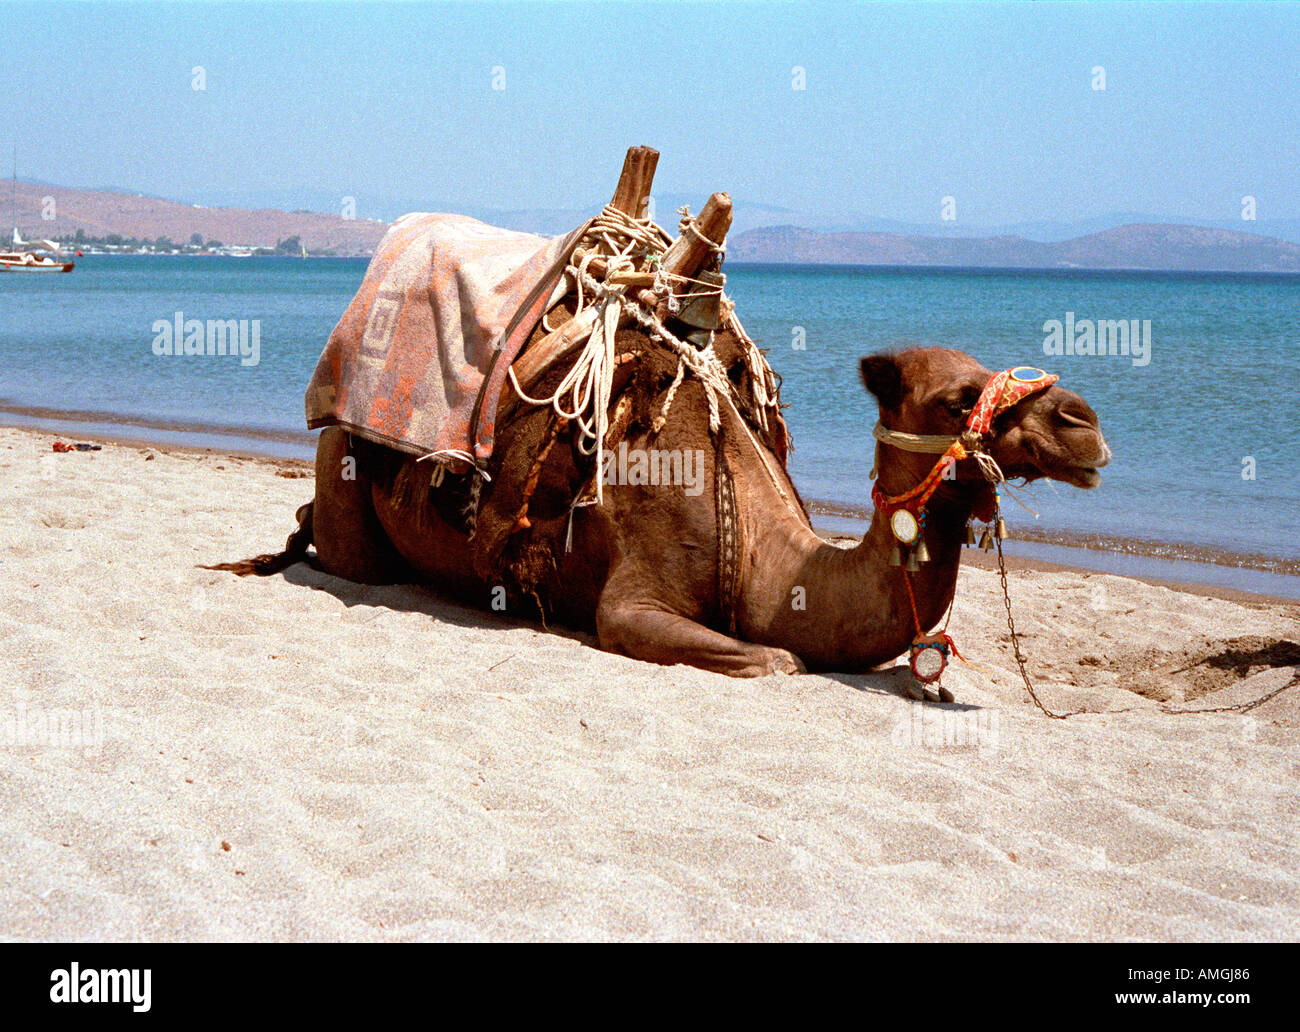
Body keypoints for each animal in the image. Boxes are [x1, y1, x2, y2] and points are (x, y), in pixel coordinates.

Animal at [222, 150, 1109, 688]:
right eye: (960, 397)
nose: (1084, 423)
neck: (769, 562)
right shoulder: (632, 605)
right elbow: (780, 659)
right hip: (344, 464)